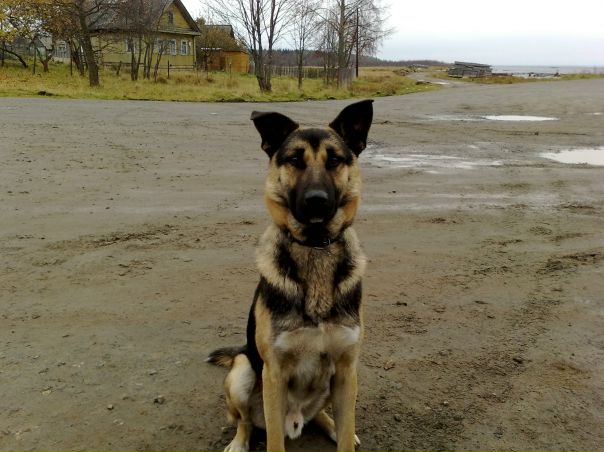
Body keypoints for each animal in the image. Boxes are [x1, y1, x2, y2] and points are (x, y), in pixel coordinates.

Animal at [207, 99, 373, 452]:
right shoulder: (273, 374)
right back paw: (239, 442)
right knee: (244, 420)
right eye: (295, 159)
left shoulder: (346, 369)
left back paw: (335, 427)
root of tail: (296, 417)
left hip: (337, 385)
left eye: (335, 160)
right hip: (243, 372)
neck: (315, 247)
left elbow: (346, 427)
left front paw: (344, 433)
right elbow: (272, 441)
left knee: (323, 415)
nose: (316, 201)